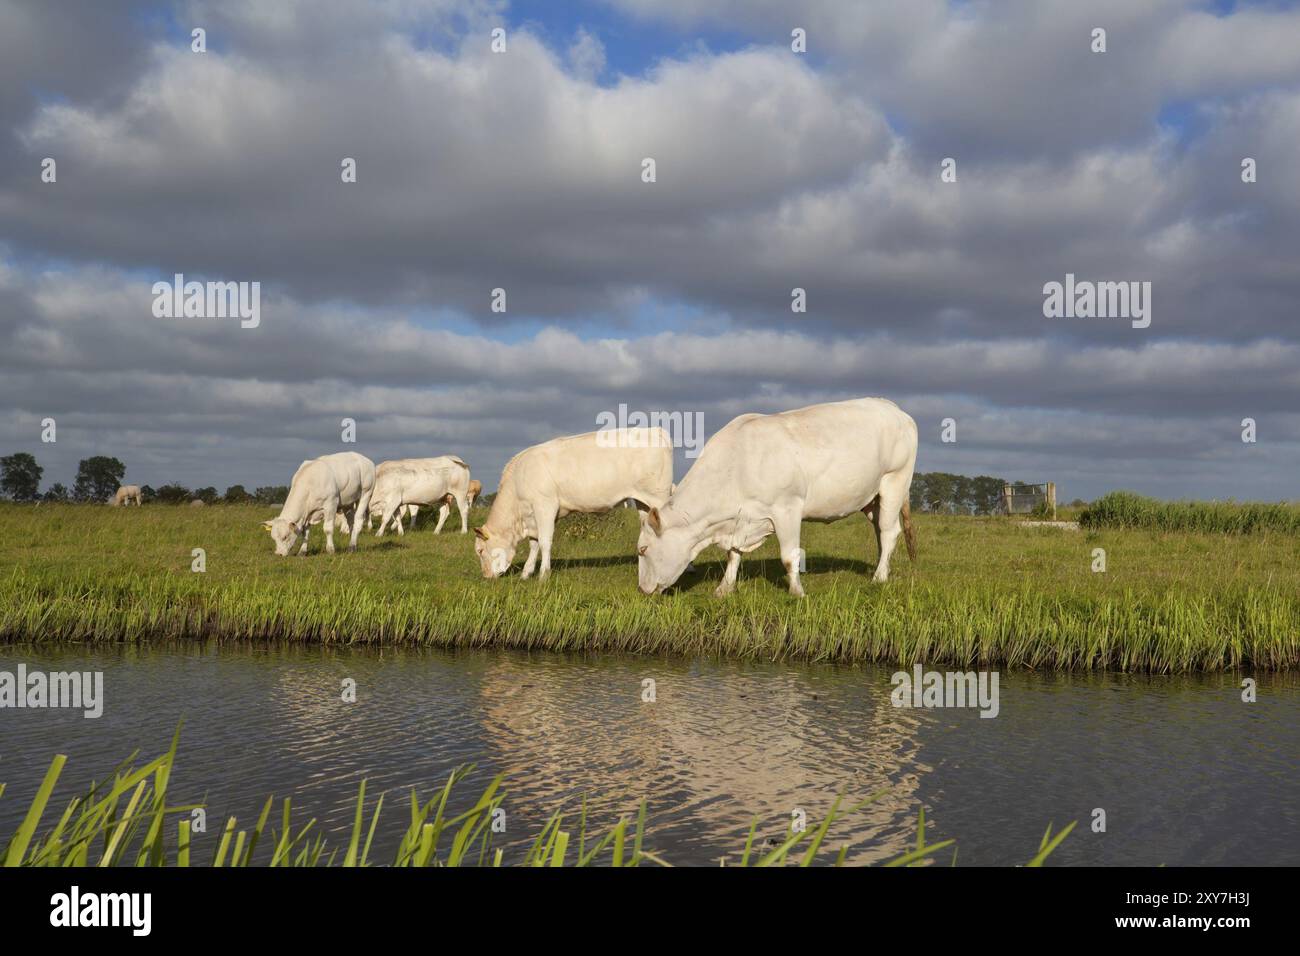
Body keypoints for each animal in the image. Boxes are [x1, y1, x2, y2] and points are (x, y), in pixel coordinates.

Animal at [474, 428, 673, 581]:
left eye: (480, 550)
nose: (486, 577)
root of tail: (655, 430)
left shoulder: (545, 506)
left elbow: (545, 542)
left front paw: (543, 575)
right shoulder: (534, 516)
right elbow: (534, 544)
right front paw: (526, 573)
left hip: (659, 498)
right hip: (643, 503)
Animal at [637, 398, 918, 598]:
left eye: (643, 549)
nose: (641, 589)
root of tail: (892, 407)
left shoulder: (787, 508)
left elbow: (789, 555)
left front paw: (797, 592)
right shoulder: (742, 518)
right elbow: (733, 555)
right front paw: (724, 588)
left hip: (894, 481)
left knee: (889, 531)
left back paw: (879, 577)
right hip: (871, 499)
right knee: (880, 531)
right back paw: (882, 568)